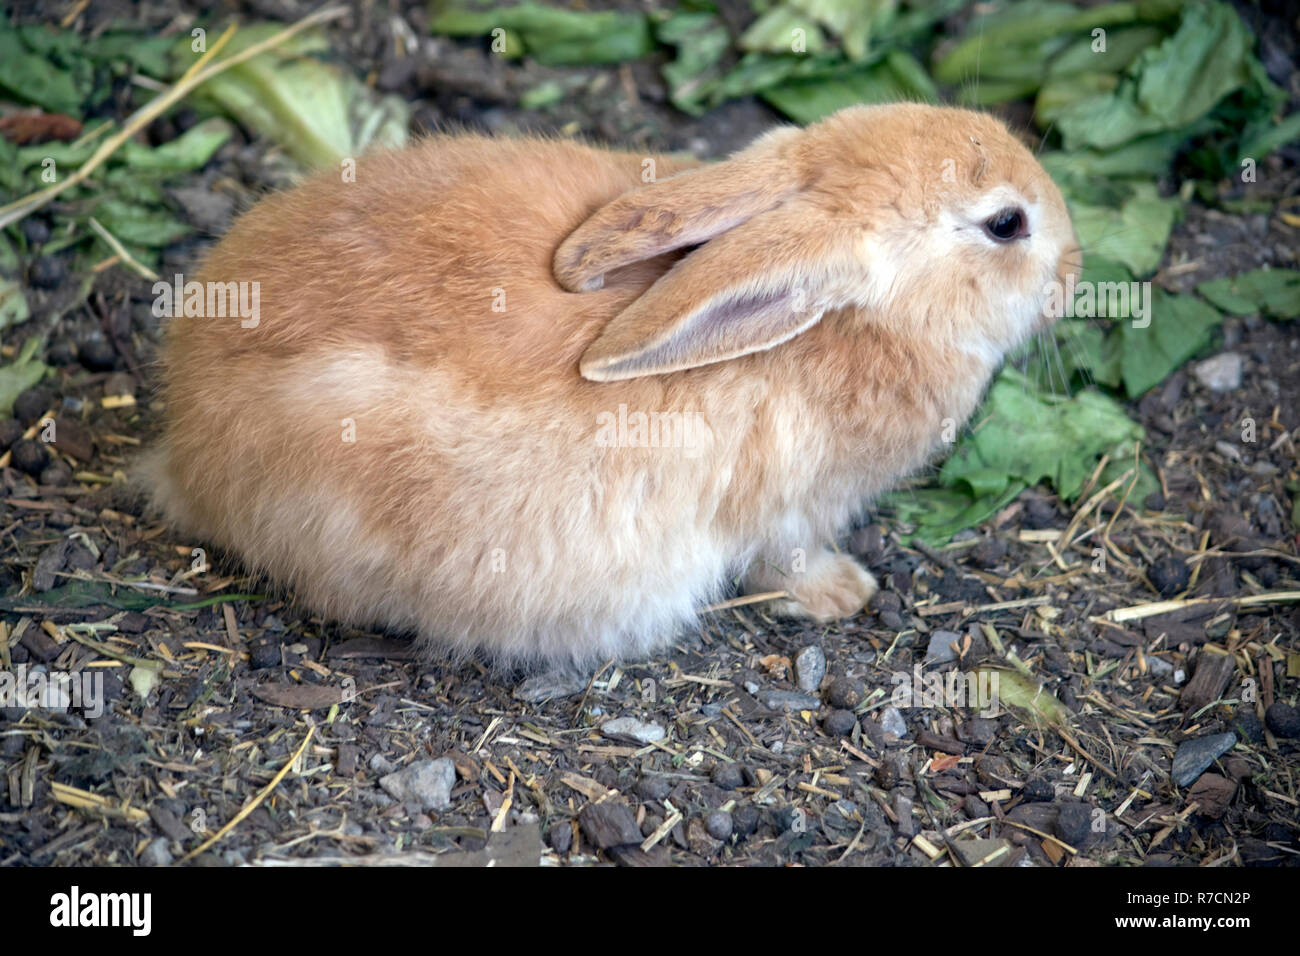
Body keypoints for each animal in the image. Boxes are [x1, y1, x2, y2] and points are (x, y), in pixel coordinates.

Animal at [143, 102, 1080, 667]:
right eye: (1006, 224)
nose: (1073, 274)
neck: (860, 318)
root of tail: (182, 443)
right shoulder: (787, 509)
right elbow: (788, 559)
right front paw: (845, 594)